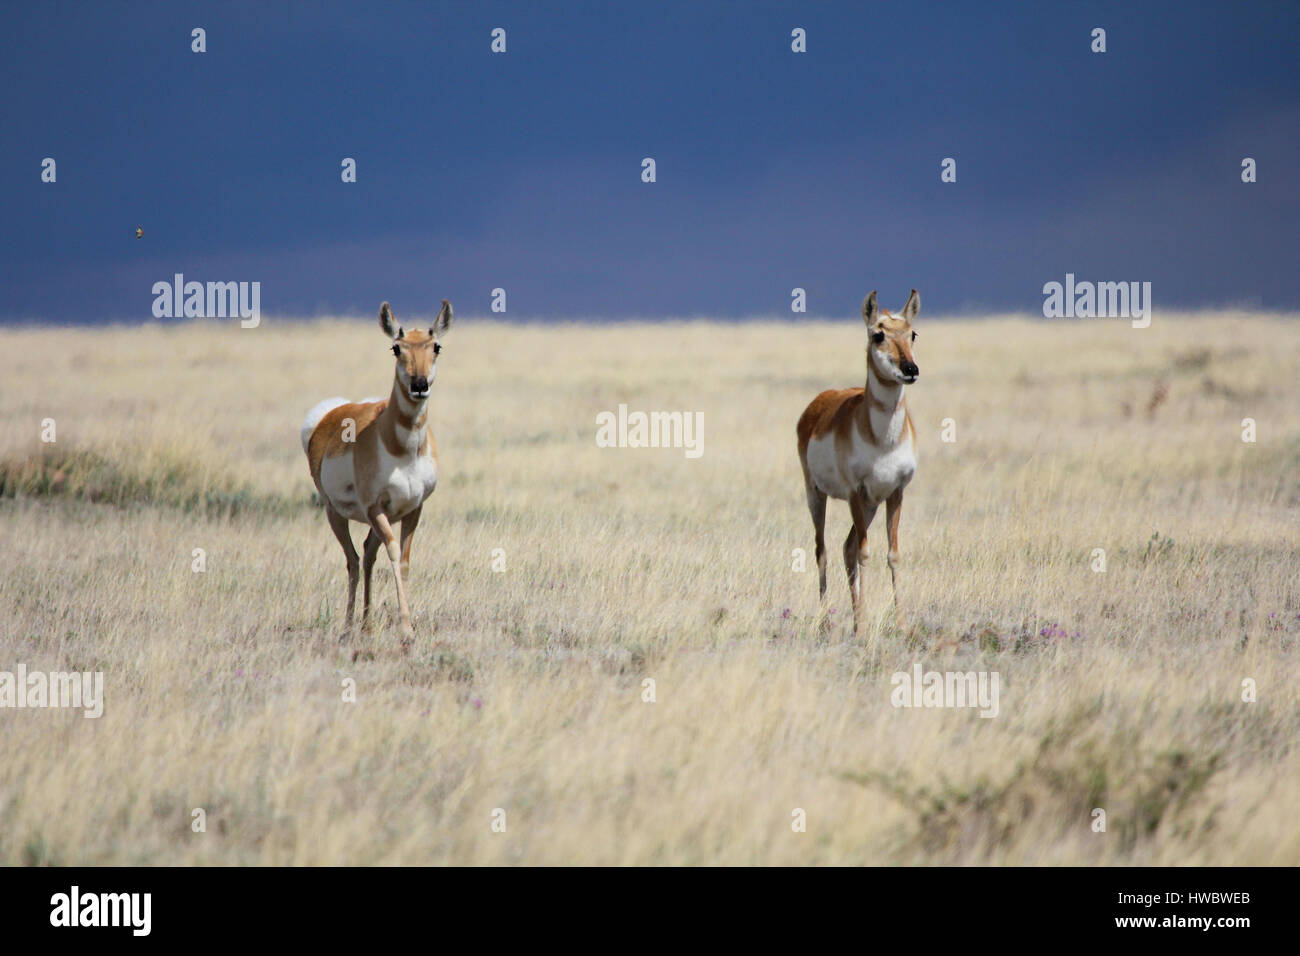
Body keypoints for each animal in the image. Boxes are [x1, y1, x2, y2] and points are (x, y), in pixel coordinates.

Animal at [300, 300, 452, 641]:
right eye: (397, 348)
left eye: (436, 346)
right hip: (336, 513)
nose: (419, 385)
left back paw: (367, 624)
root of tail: (331, 413)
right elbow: (393, 553)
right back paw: (348, 626)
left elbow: (404, 560)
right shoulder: (375, 507)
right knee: (353, 560)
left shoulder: (413, 509)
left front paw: (405, 624)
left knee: (368, 554)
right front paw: (407, 629)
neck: (402, 449)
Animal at [796, 290, 921, 634]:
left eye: (913, 334)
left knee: (845, 548)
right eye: (878, 334)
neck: (882, 440)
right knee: (823, 550)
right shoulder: (855, 492)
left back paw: (852, 618)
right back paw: (826, 620)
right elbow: (865, 554)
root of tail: (820, 401)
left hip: (870, 505)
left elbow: (892, 554)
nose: (910, 368)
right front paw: (864, 626)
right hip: (818, 496)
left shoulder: (894, 493)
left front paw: (901, 624)